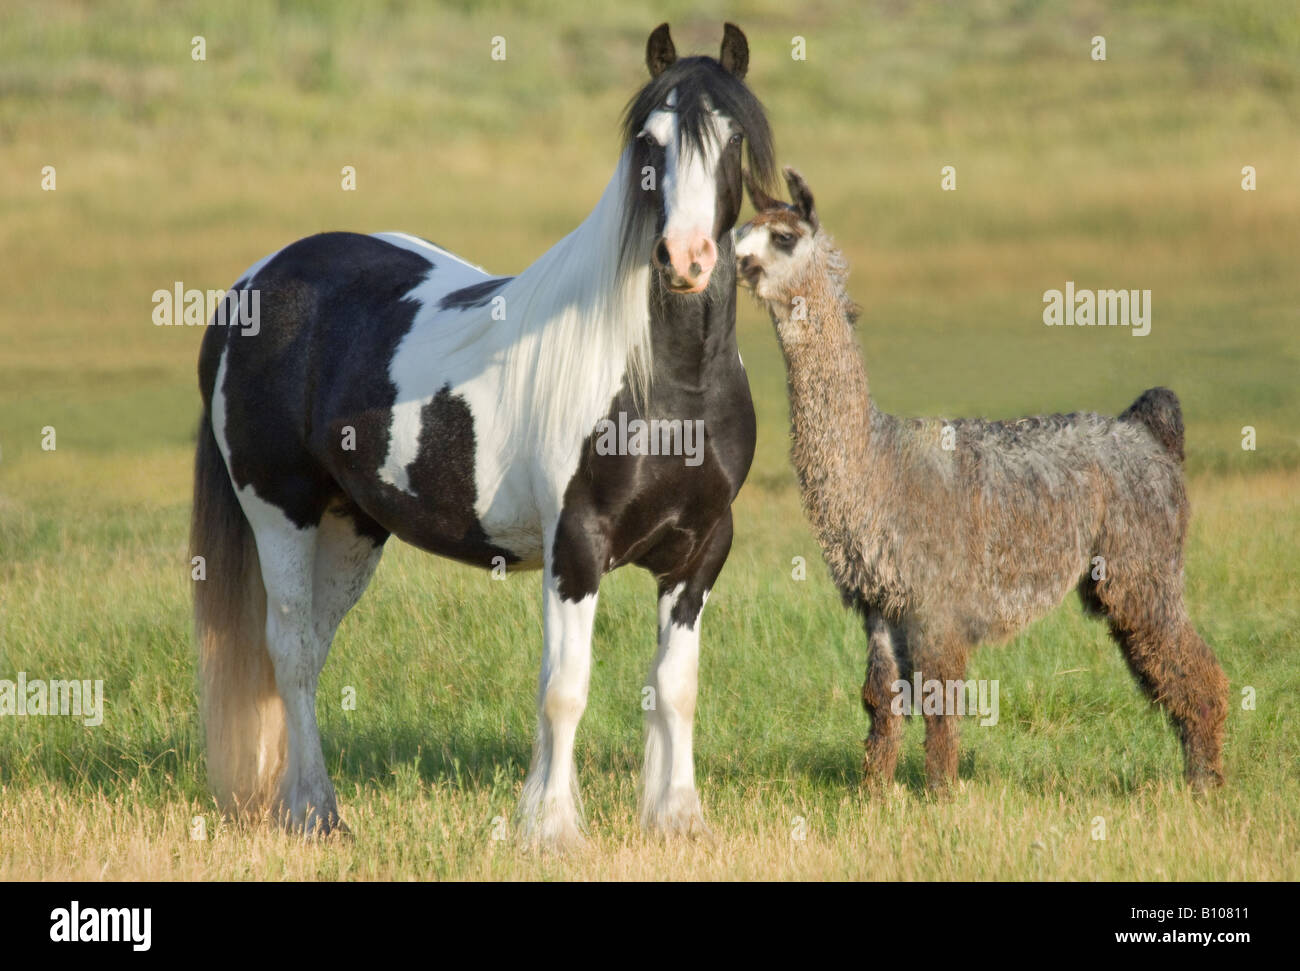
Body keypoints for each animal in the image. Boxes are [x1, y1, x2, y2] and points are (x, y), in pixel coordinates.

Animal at [190, 22, 776, 847]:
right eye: (650, 142)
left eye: (732, 139)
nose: (685, 259)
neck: (666, 384)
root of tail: (251, 284)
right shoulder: (576, 545)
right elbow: (565, 688)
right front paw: (552, 827)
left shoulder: (700, 551)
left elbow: (675, 686)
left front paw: (678, 820)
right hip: (281, 514)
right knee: (293, 653)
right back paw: (316, 812)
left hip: (350, 527)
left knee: (305, 653)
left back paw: (298, 803)